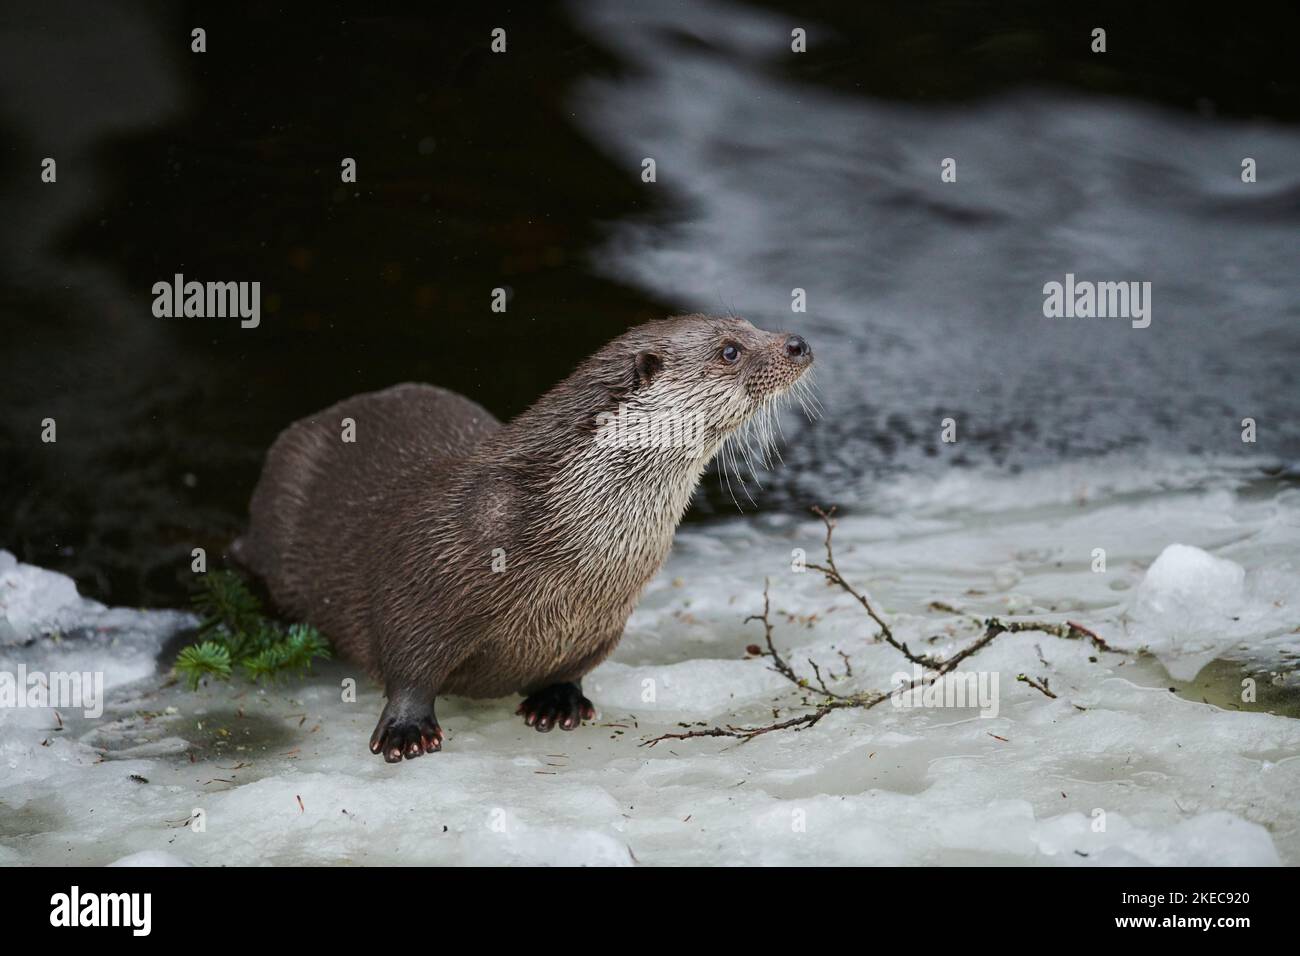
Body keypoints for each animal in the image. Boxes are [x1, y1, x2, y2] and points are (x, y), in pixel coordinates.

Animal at [236, 314, 813, 762]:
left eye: (751, 325)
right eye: (730, 350)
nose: (798, 343)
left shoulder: (603, 622)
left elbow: (575, 667)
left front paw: (559, 699)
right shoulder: (424, 579)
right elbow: (408, 663)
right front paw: (407, 730)